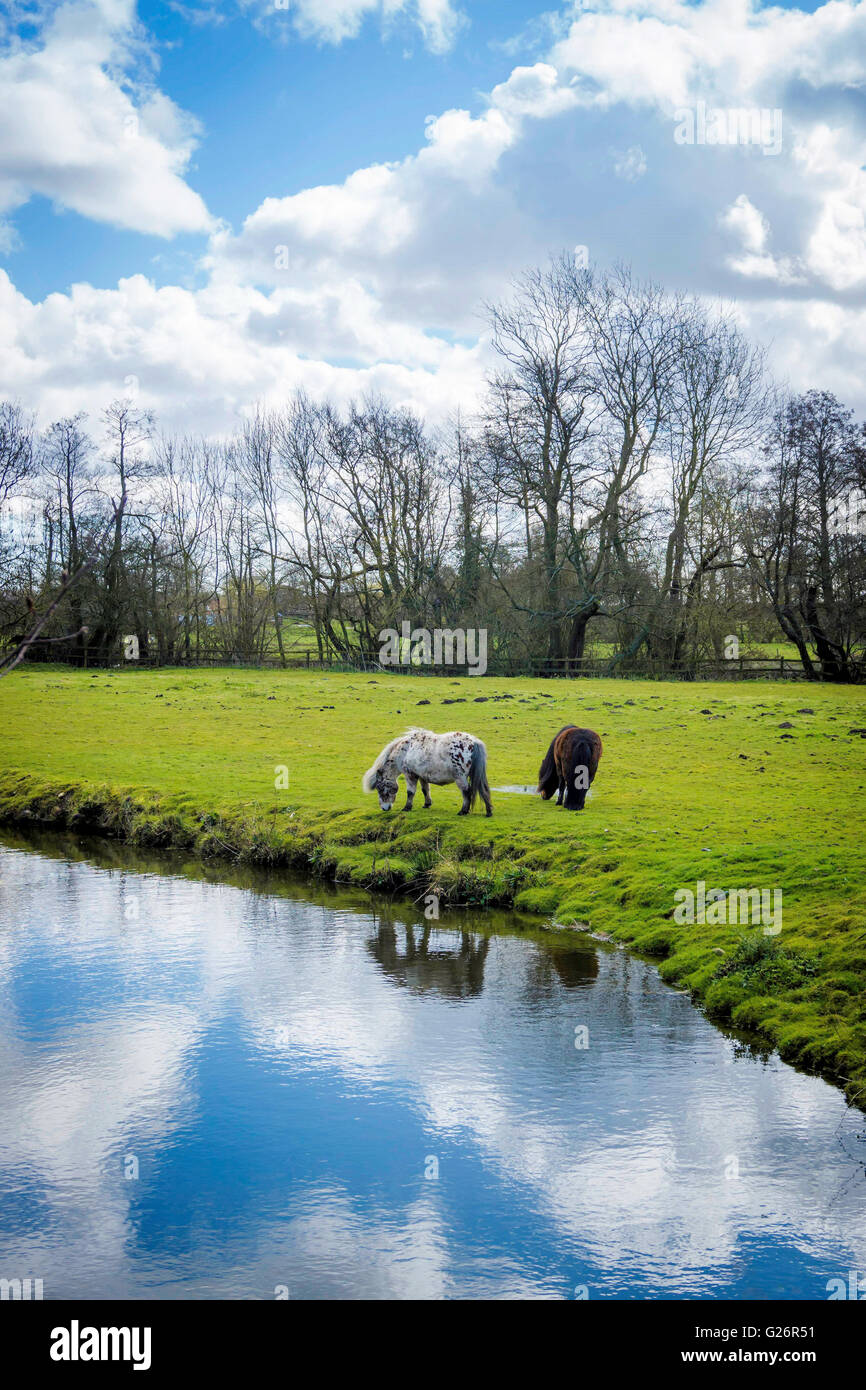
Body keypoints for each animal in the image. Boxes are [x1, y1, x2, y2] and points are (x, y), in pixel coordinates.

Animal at [363, 728, 493, 816]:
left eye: (380, 789)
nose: (384, 808)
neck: (406, 750)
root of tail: (474, 742)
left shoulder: (410, 775)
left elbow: (410, 792)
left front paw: (407, 807)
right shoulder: (422, 776)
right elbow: (425, 790)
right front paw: (427, 804)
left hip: (460, 777)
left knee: (466, 791)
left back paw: (463, 811)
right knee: (483, 790)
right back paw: (488, 811)